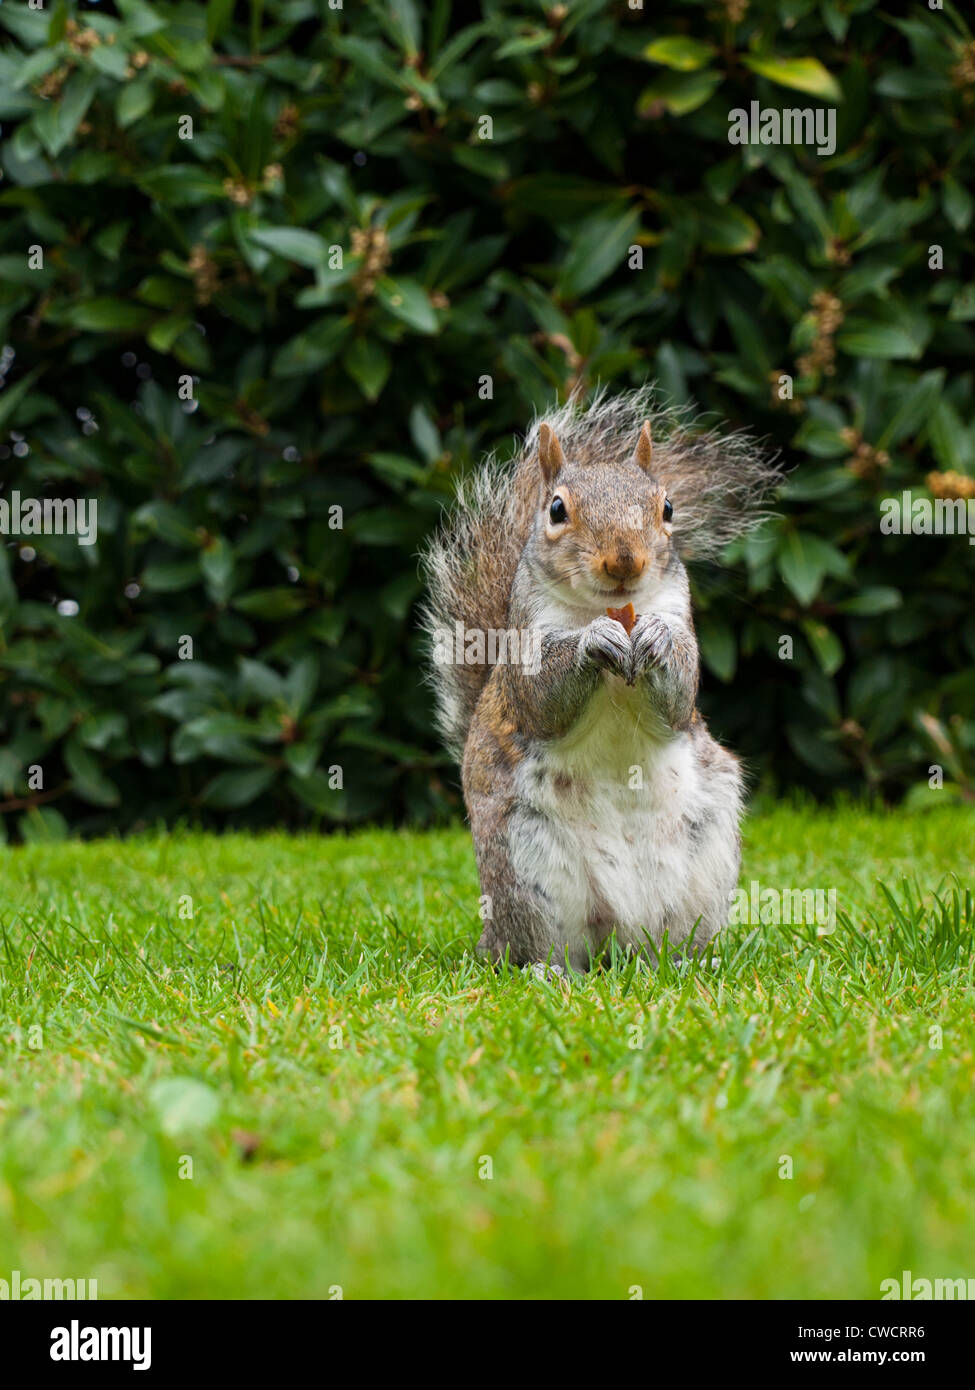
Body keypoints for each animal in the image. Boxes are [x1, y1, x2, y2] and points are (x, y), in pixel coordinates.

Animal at [422, 388, 781, 972]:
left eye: (667, 508)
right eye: (556, 509)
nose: (625, 561)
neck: (607, 608)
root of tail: (620, 940)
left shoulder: (679, 618)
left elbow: (679, 697)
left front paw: (655, 638)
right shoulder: (525, 652)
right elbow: (543, 698)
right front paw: (593, 642)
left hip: (708, 855)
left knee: (675, 938)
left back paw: (690, 960)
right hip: (524, 866)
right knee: (540, 943)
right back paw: (547, 970)